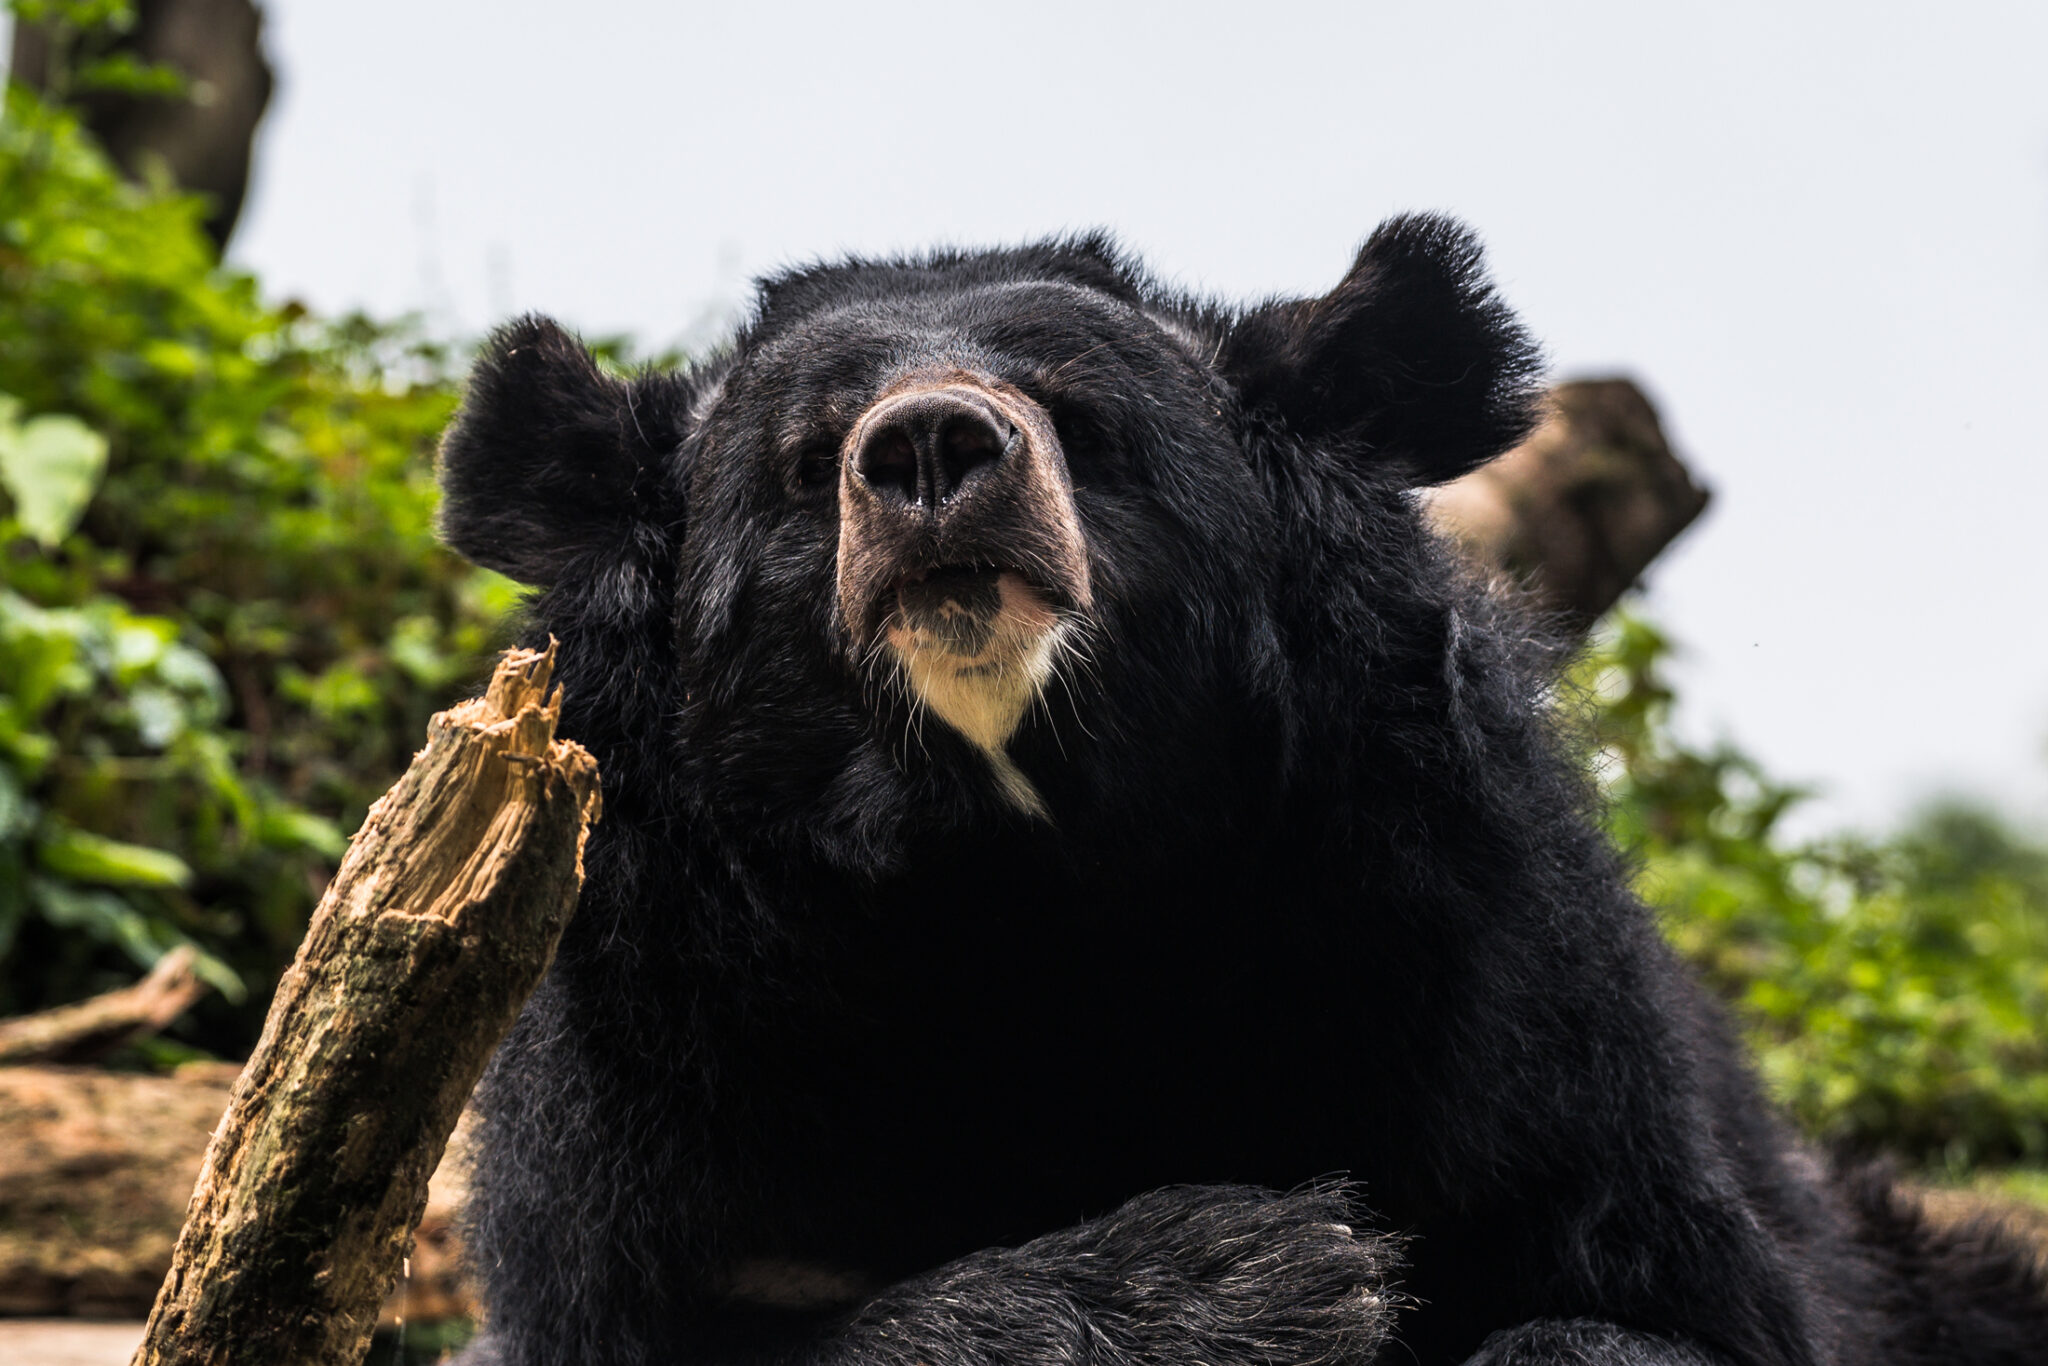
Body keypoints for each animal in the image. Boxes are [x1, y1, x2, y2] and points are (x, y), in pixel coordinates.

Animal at [435, 215, 2048, 1366]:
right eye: (802, 457)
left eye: (1082, 419)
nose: (931, 448)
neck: (1018, 867)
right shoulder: (658, 1038)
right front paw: (1257, 1277)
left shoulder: (1488, 961)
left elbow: (1653, 1296)